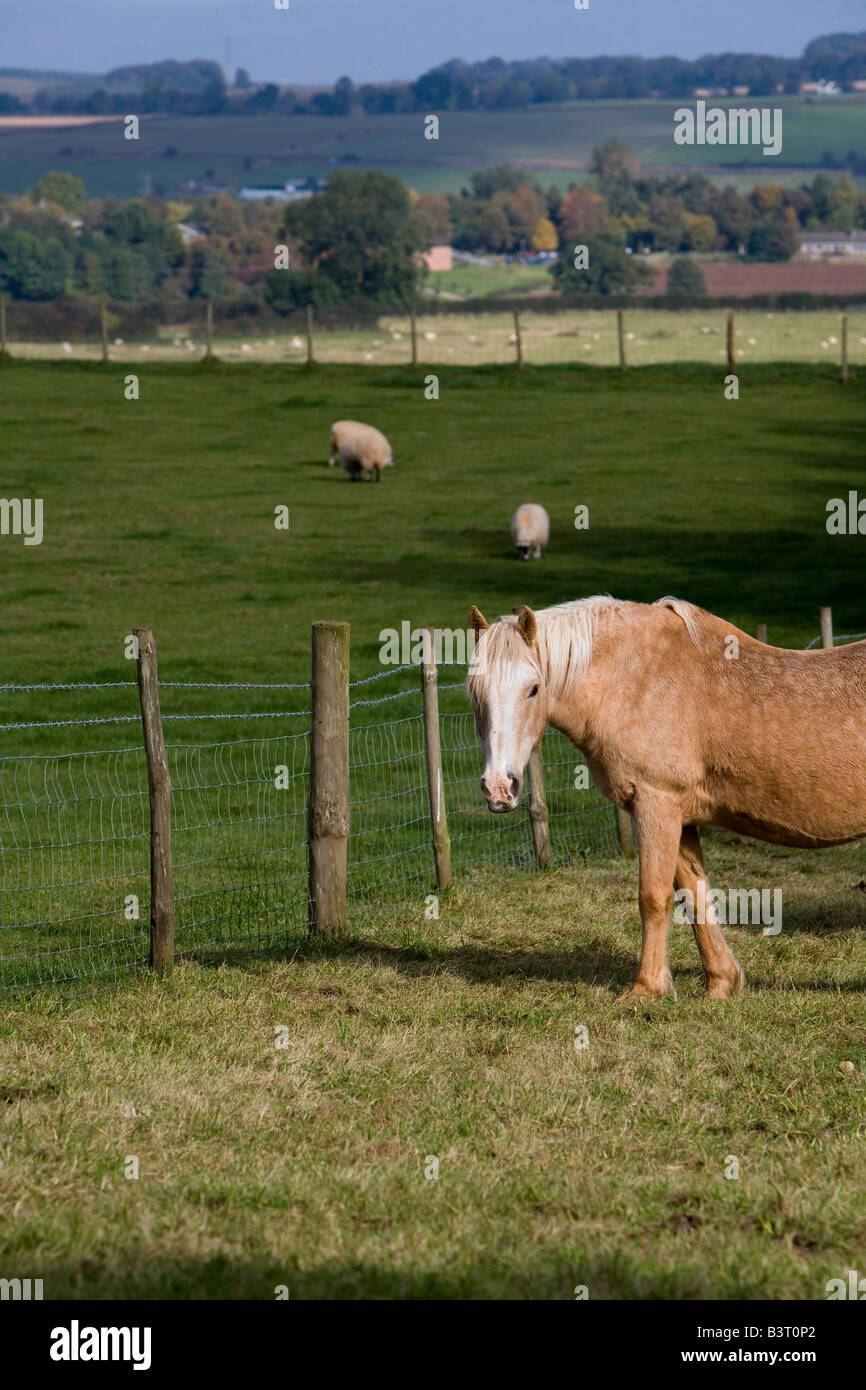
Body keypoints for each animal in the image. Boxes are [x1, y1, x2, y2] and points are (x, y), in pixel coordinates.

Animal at [467, 595, 866, 1002]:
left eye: (533, 688)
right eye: (475, 692)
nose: (499, 788)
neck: (633, 678)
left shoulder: (656, 803)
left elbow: (653, 897)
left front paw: (645, 989)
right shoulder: (680, 816)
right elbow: (694, 893)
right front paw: (721, 982)